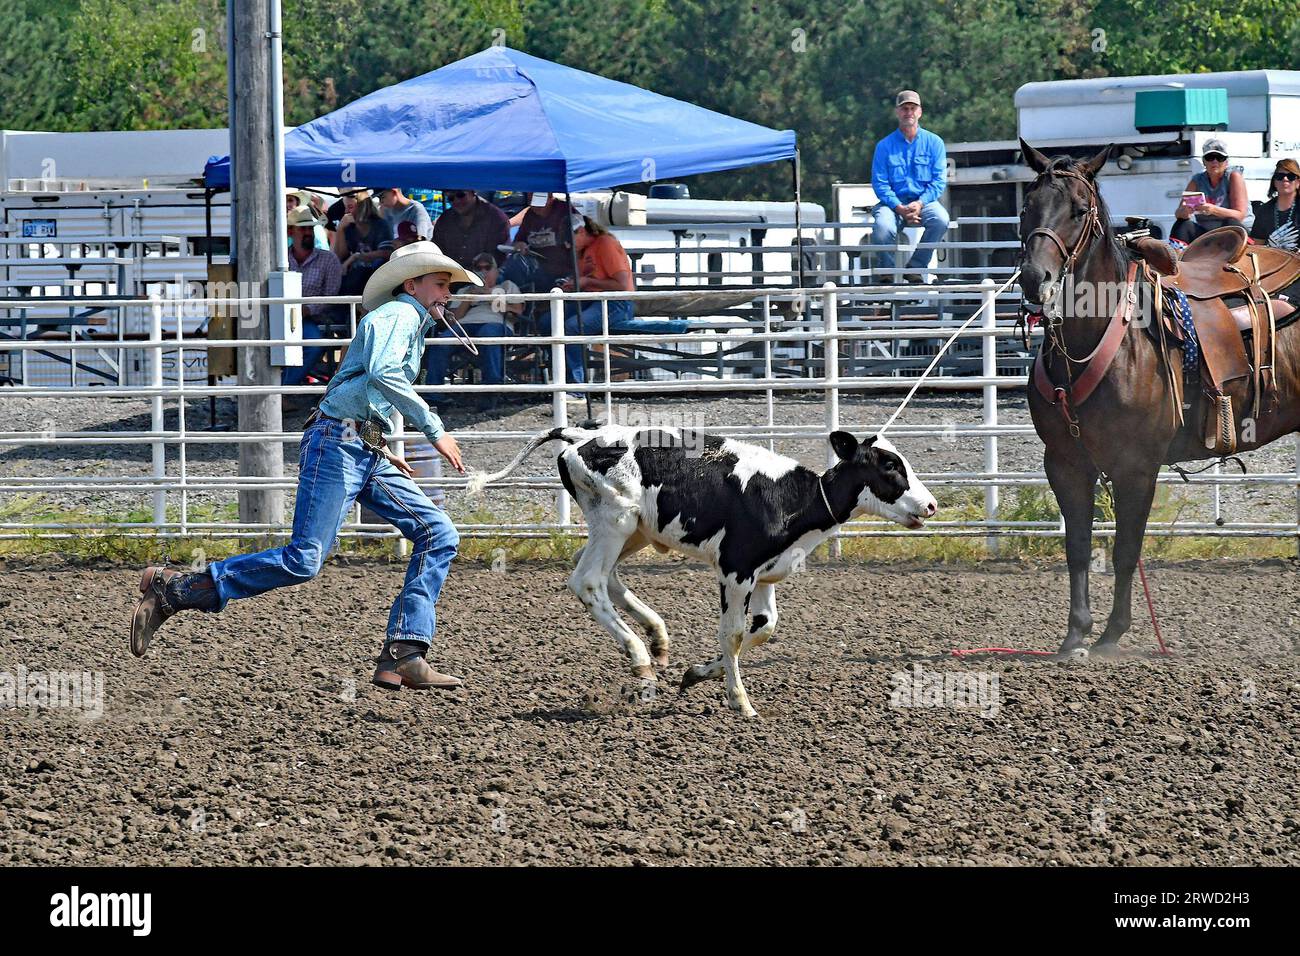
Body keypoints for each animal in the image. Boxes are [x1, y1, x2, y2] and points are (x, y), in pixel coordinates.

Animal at [469, 425, 937, 716]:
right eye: (889, 465)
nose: (931, 505)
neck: (794, 498)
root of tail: (582, 437)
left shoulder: (764, 574)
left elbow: (764, 628)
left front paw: (696, 674)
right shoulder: (735, 569)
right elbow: (732, 634)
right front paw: (739, 702)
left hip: (633, 530)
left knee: (608, 578)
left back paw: (657, 639)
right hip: (614, 519)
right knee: (588, 582)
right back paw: (641, 660)